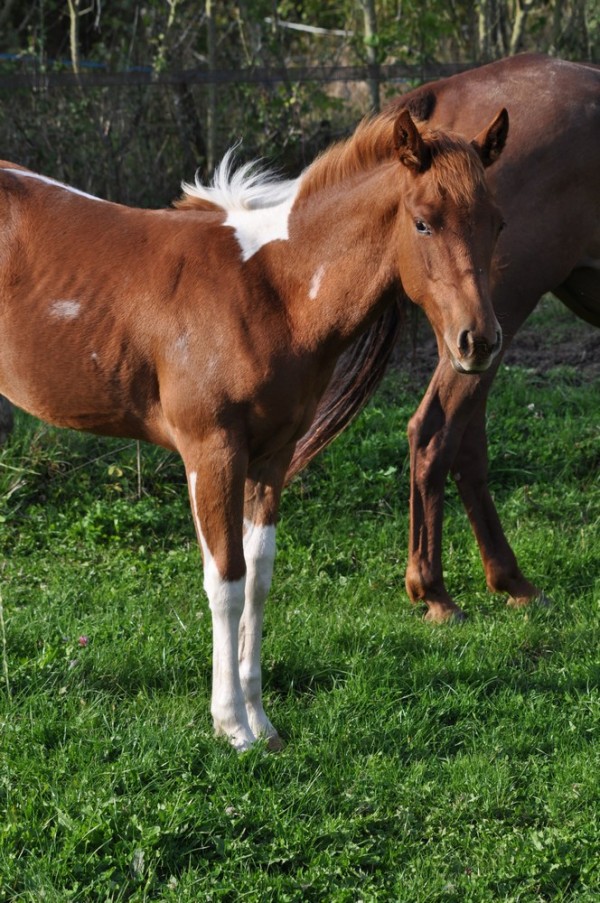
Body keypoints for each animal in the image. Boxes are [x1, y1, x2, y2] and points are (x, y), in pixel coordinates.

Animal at [0, 108, 508, 748]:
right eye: (423, 222)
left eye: (497, 222)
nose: (479, 342)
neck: (269, 291)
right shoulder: (211, 452)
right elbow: (227, 580)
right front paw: (231, 727)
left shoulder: (273, 456)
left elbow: (259, 577)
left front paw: (262, 722)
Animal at [288, 53, 600, 623]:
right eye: (423, 224)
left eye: (498, 225)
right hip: (492, 324)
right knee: (436, 432)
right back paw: (434, 588)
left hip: (474, 339)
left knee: (464, 441)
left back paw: (510, 580)